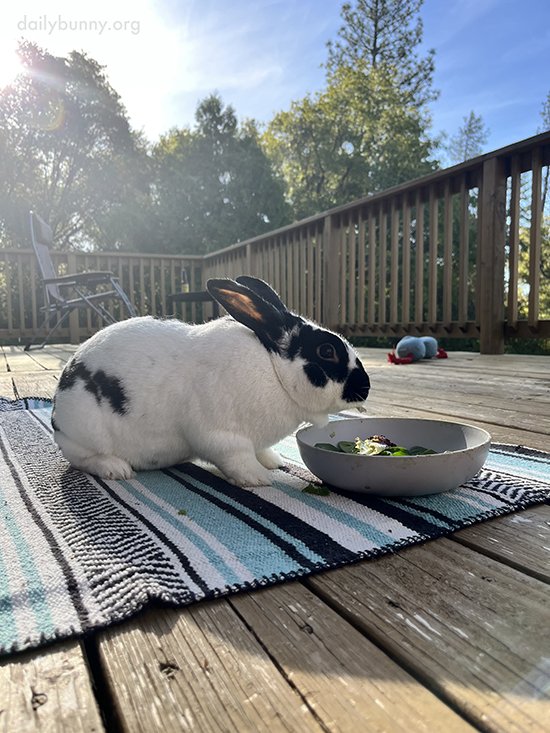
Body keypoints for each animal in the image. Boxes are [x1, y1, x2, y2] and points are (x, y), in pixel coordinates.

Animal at [52, 276, 371, 486]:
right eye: (326, 351)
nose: (366, 387)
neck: (274, 371)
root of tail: (57, 411)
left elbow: (260, 450)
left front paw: (274, 461)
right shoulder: (221, 436)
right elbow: (238, 458)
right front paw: (259, 478)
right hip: (85, 433)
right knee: (84, 459)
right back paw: (117, 470)